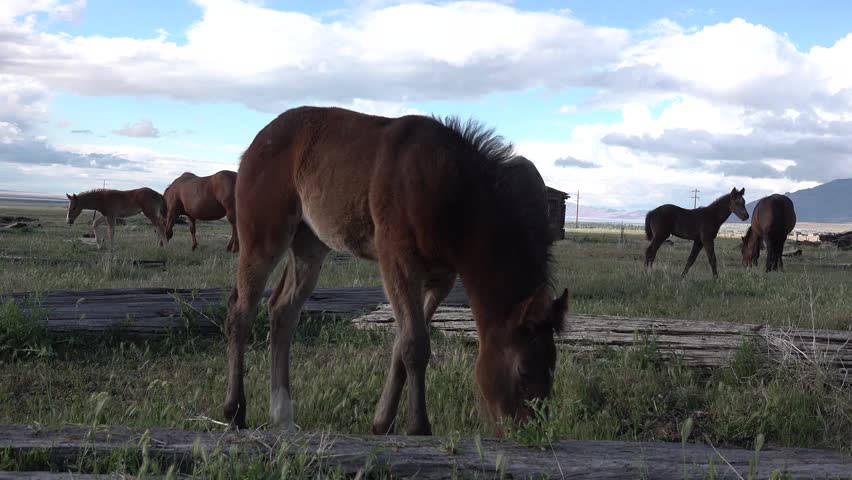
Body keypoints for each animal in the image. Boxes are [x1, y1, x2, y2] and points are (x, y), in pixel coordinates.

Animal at [224, 106, 569, 436]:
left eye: (553, 370)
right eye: (524, 371)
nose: (528, 432)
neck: (454, 195)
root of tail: (256, 143)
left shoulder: (441, 277)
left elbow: (401, 347)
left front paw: (382, 423)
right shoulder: (398, 260)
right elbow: (415, 344)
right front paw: (418, 427)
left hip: (309, 244)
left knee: (282, 310)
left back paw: (282, 416)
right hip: (264, 236)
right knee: (242, 311)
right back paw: (235, 412)